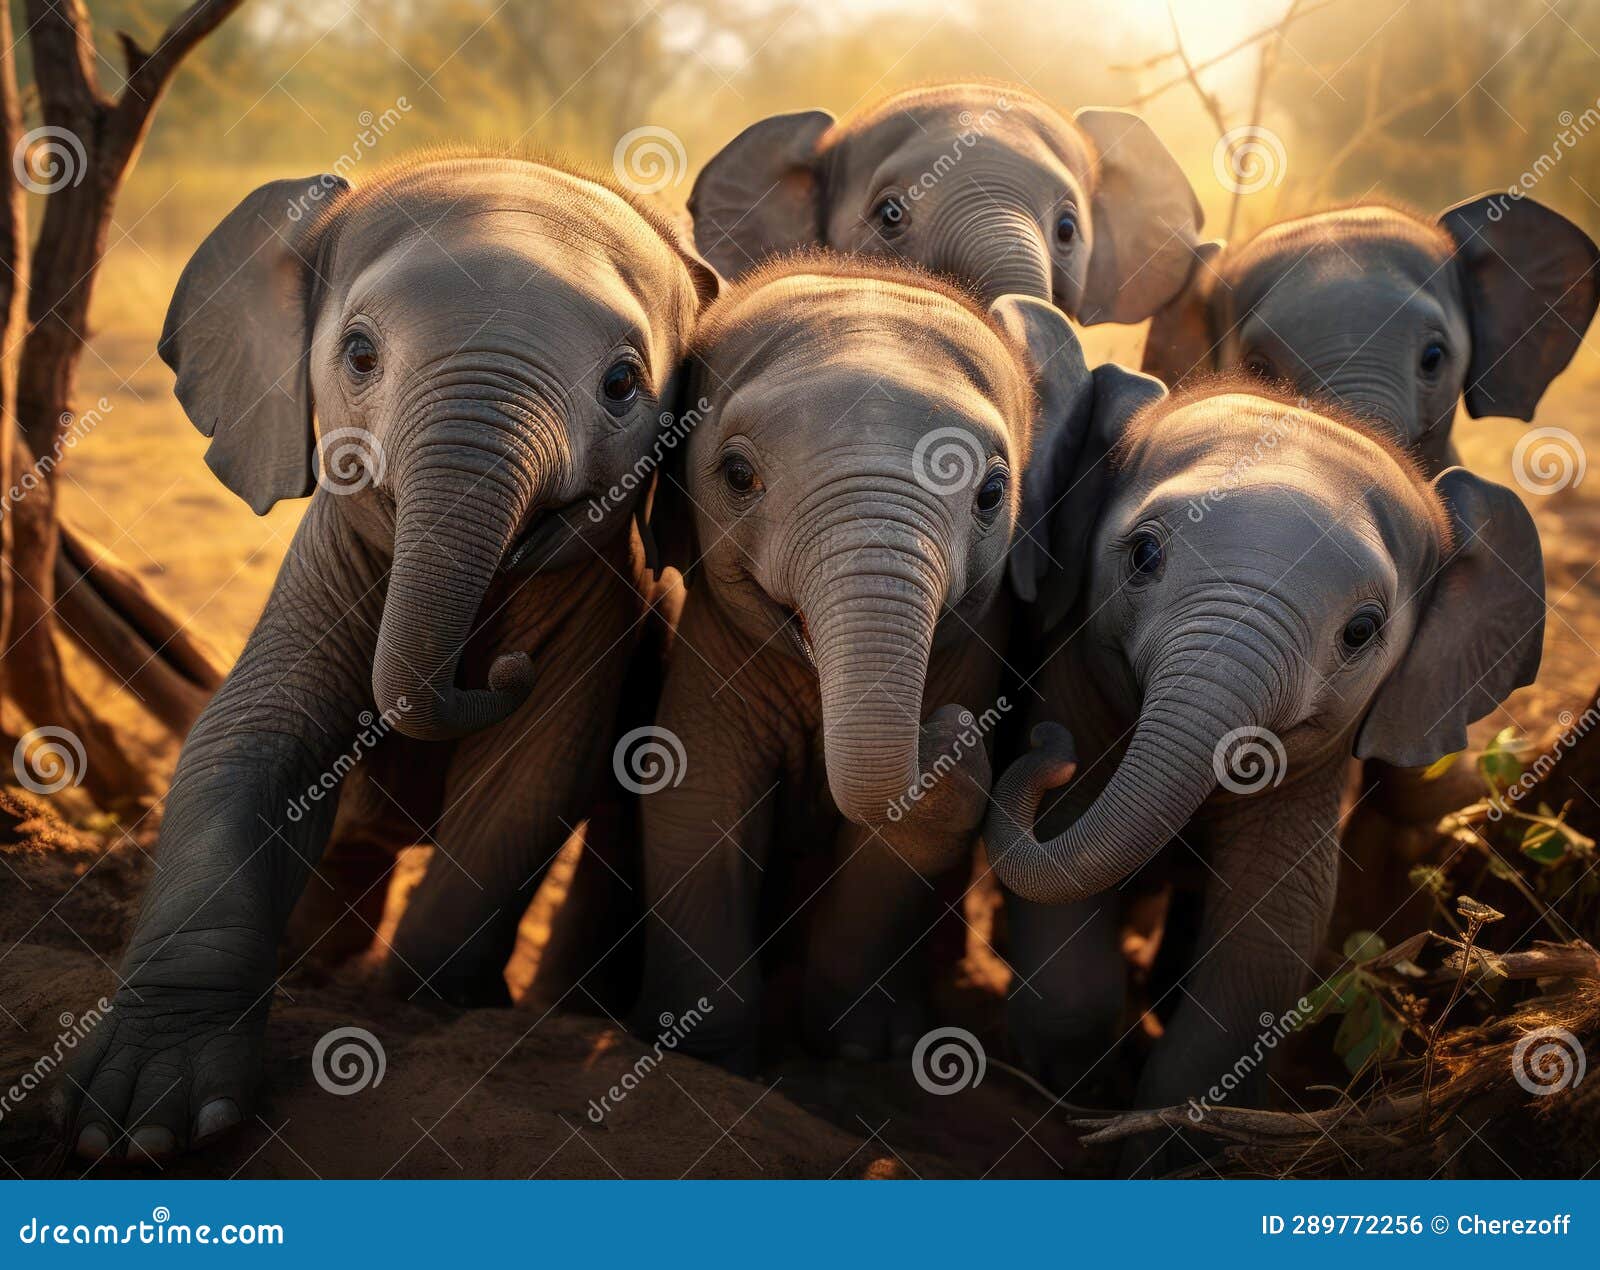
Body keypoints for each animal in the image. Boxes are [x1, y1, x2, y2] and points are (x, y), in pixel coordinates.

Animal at [57, 156, 718, 1163]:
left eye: (622, 384)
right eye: (361, 356)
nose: (502, 668)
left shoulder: (601, 591)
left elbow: (529, 782)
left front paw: (427, 1008)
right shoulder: (332, 552)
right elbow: (250, 740)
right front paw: (140, 1127)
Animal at [632, 256, 1144, 1065]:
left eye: (993, 493)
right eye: (738, 476)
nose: (948, 729)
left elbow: (889, 851)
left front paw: (861, 1047)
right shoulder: (716, 645)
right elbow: (694, 800)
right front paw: (700, 1049)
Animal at [982, 379, 1545, 1173]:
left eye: (1362, 631)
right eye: (1144, 554)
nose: (1043, 745)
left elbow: (1272, 926)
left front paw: (1179, 1152)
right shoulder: (1076, 672)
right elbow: (1069, 847)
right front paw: (1073, 1085)